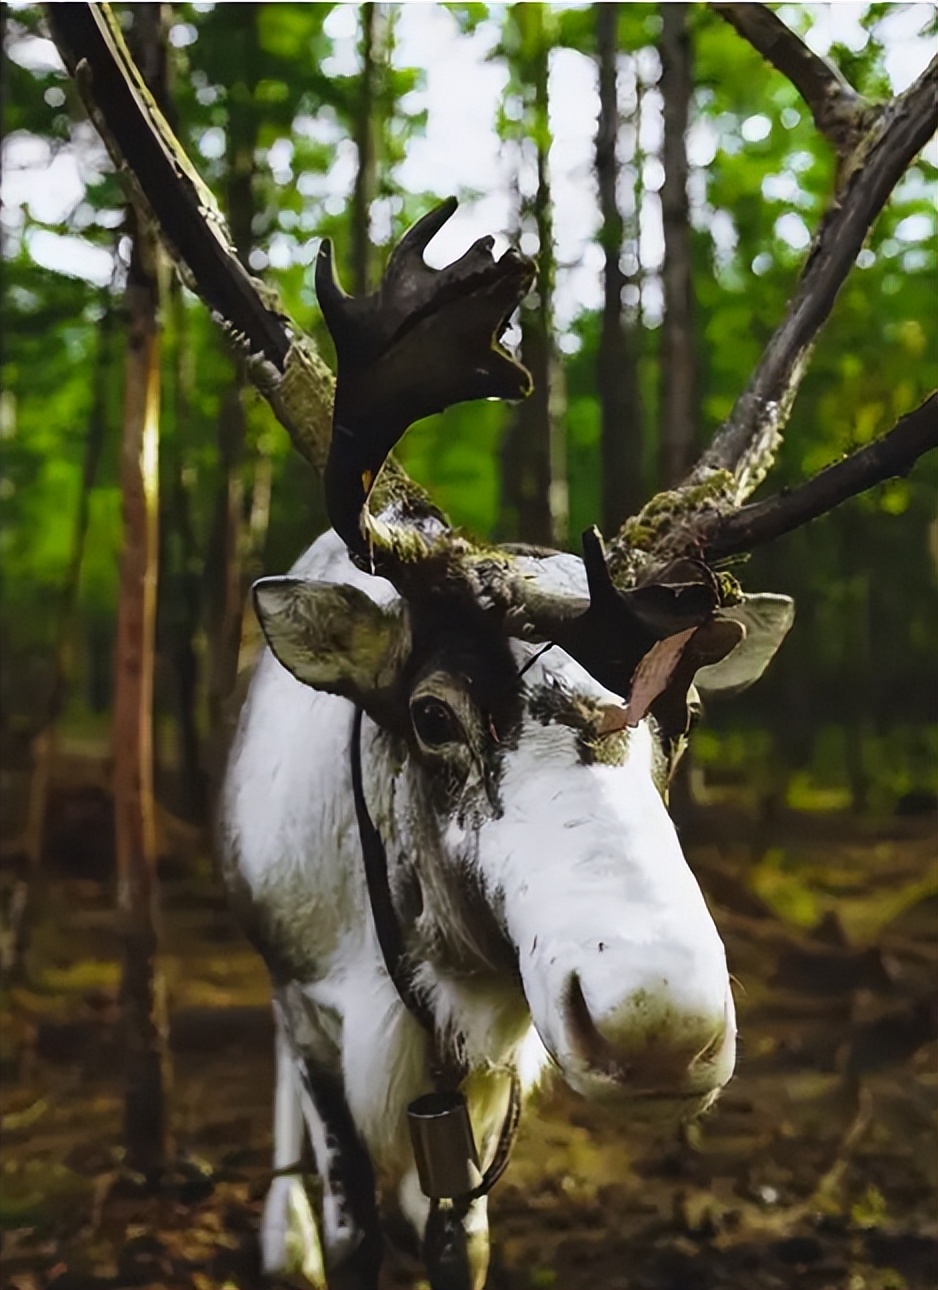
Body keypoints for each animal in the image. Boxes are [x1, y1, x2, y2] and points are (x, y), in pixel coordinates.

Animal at [44, 7, 937, 1290]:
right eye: (430, 715)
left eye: (682, 718)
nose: (657, 1027)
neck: (412, 977)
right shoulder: (316, 1015)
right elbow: (356, 1218)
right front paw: (312, 1233)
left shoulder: (481, 1077)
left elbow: (456, 1236)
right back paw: (281, 1230)